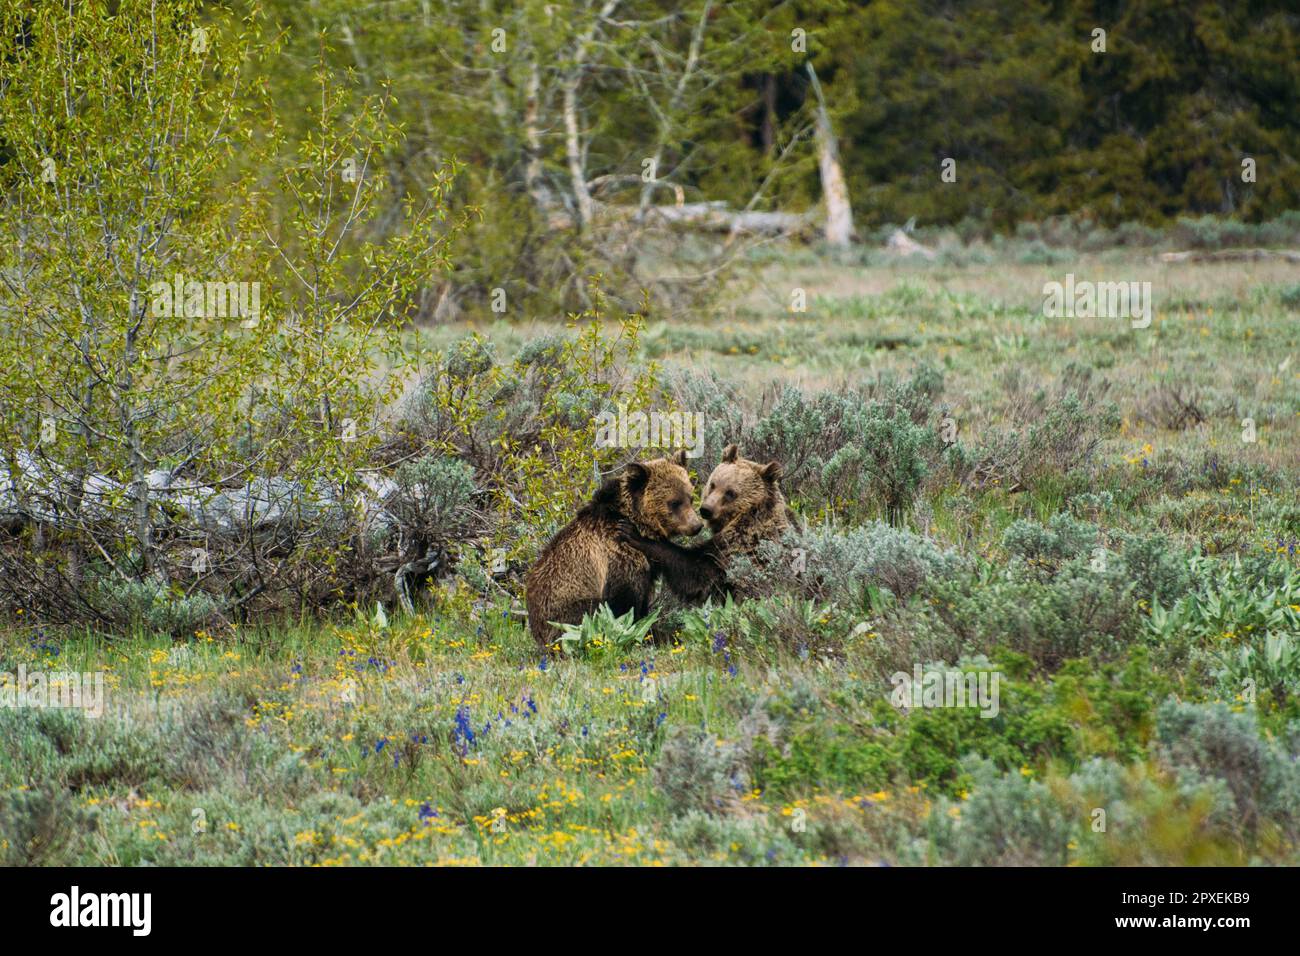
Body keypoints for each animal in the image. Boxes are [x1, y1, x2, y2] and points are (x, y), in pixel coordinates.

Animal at [524, 451, 703, 650]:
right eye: (674, 502)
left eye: (690, 497)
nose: (696, 526)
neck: (634, 519)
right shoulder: (618, 557)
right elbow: (623, 607)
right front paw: (647, 635)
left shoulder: (647, 567)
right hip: (565, 612)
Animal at [617, 443, 793, 605]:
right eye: (713, 484)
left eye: (730, 493)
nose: (705, 509)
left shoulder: (741, 548)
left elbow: (696, 574)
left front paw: (636, 535)